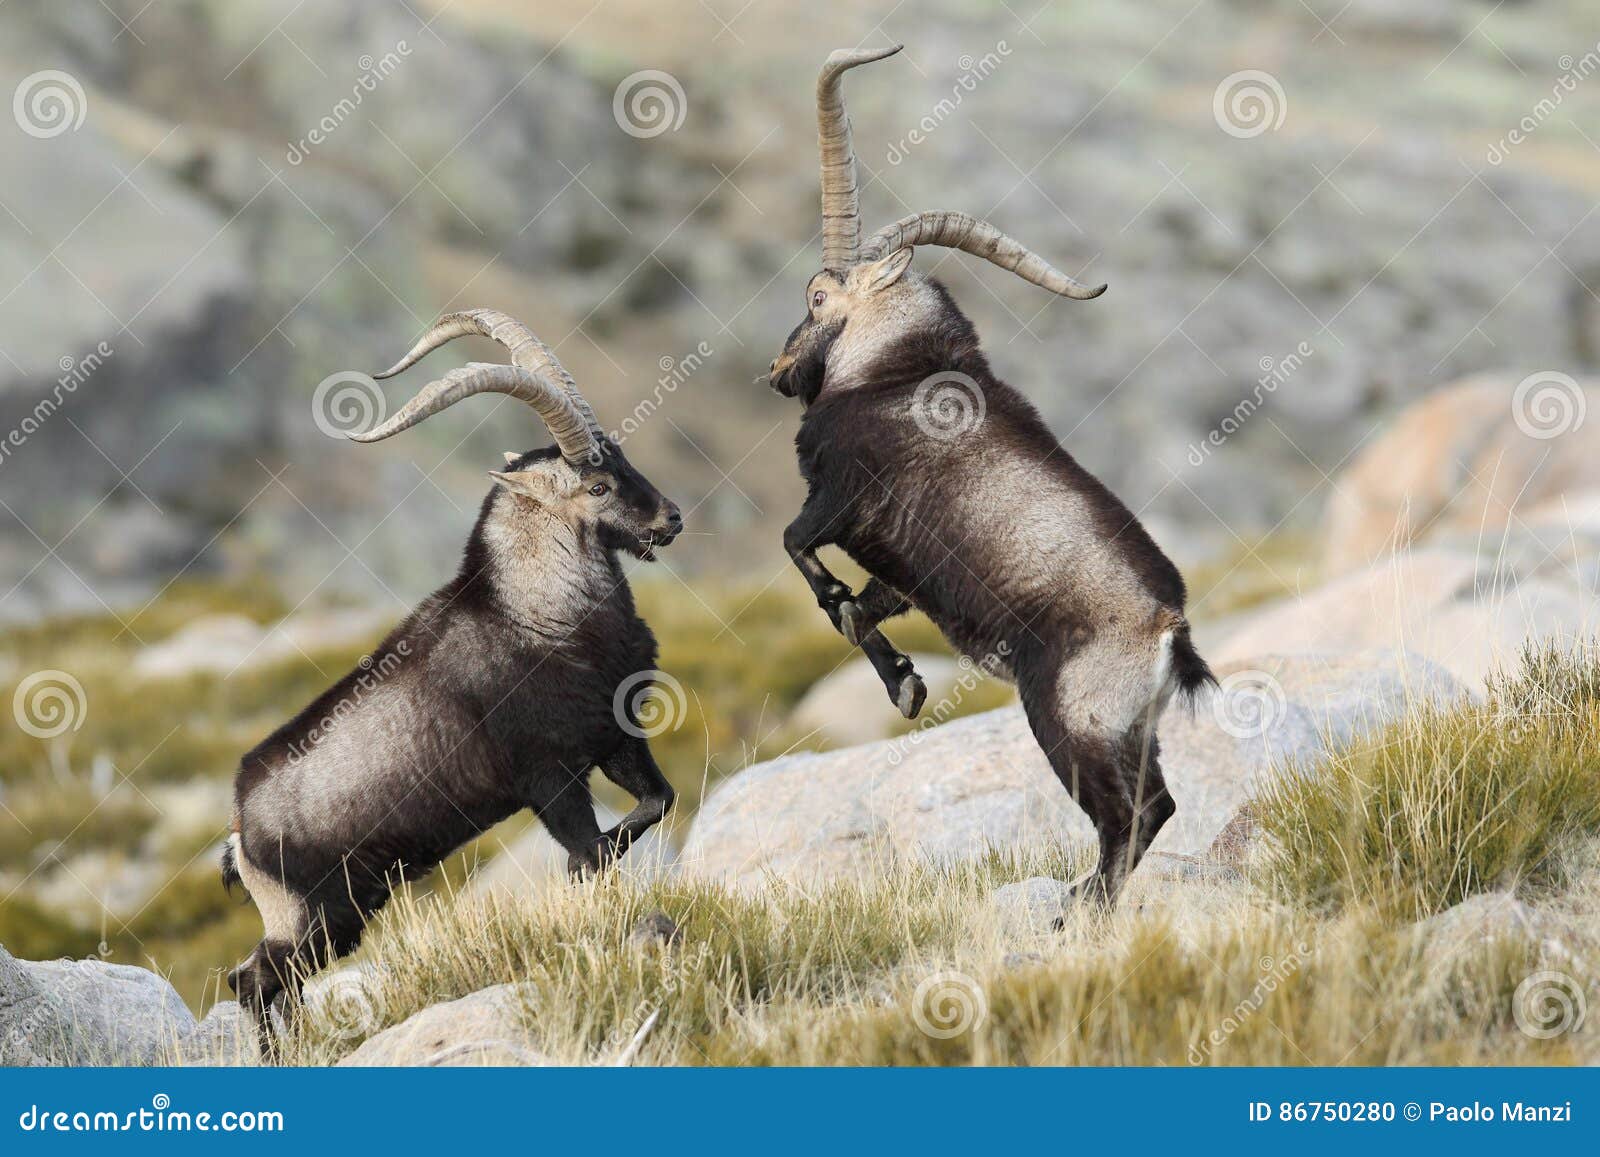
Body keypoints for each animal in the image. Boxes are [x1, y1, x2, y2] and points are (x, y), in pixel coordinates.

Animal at [224, 309, 682, 1055]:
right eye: (597, 485)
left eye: (621, 460)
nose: (671, 518)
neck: (535, 612)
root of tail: (238, 829)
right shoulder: (549, 778)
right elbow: (588, 851)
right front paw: (587, 874)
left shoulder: (614, 742)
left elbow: (656, 804)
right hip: (316, 914)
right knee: (257, 976)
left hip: (345, 909)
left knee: (267, 978)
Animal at [765, 47, 1215, 905]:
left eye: (817, 293)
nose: (776, 369)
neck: (896, 369)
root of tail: (1166, 629)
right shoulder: (901, 567)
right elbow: (861, 613)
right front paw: (906, 685)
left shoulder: (839, 498)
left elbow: (803, 556)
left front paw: (893, 669)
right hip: (1129, 725)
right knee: (1160, 803)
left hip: (1068, 713)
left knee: (1129, 812)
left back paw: (1077, 910)